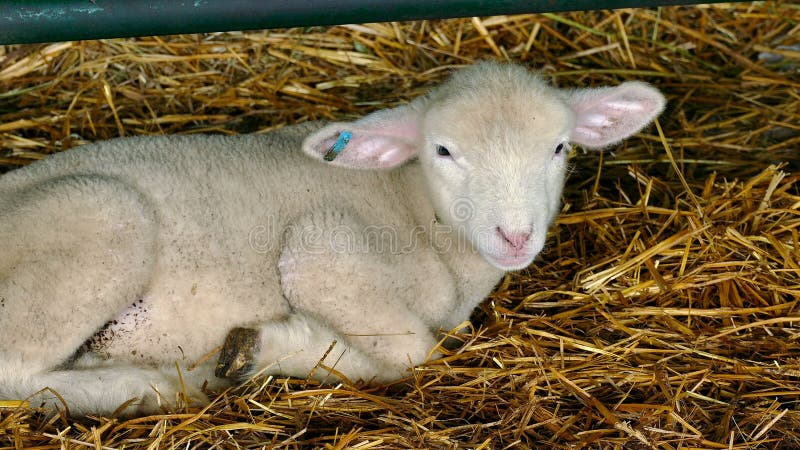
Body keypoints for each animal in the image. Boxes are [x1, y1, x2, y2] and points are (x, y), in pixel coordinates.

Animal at [0, 61, 665, 417]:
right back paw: (150, 387)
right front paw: (269, 350)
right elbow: (414, 354)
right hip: (104, 217)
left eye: (558, 147)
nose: (515, 236)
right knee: (16, 371)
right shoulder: (322, 253)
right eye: (443, 151)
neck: (417, 210)